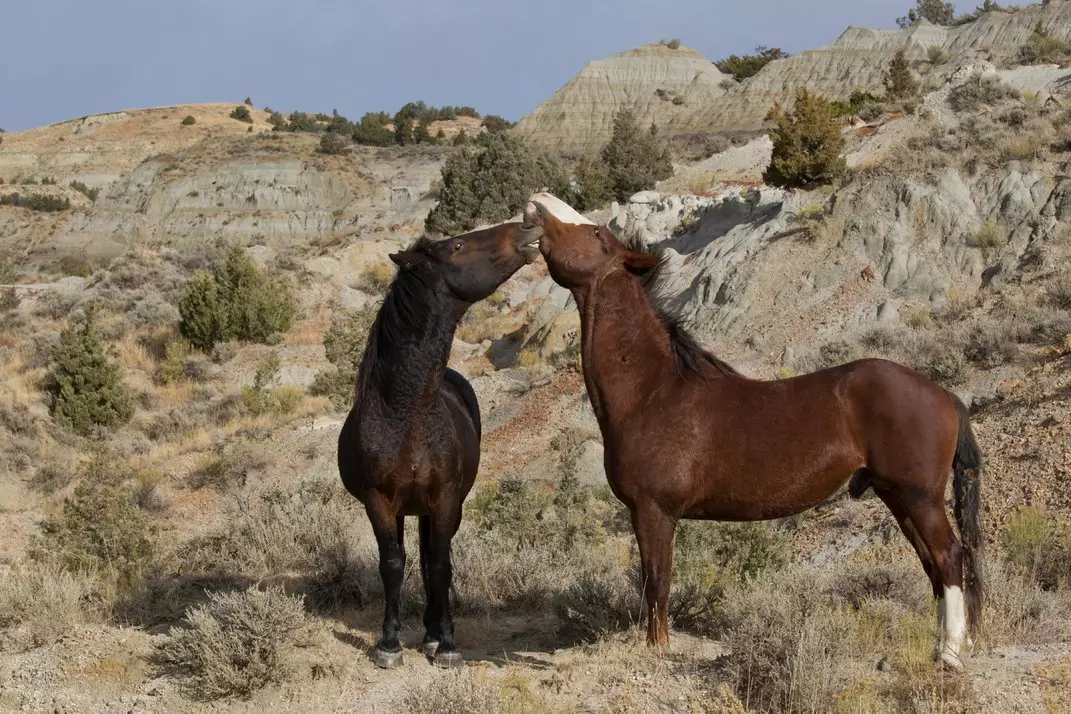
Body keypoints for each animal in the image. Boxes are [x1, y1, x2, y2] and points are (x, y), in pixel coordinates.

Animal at [338, 221, 544, 672]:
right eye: (458, 244)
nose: (527, 226)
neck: (406, 413)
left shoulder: (447, 498)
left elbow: (440, 565)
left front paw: (446, 643)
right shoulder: (379, 502)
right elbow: (392, 565)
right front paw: (388, 643)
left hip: (441, 506)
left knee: (434, 556)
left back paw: (434, 634)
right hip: (406, 509)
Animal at [522, 193, 981, 672]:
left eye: (596, 232)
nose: (537, 203)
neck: (653, 390)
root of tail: (943, 394)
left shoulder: (654, 511)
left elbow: (656, 584)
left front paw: (657, 650)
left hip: (919, 496)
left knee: (949, 557)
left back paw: (951, 655)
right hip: (896, 495)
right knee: (932, 563)